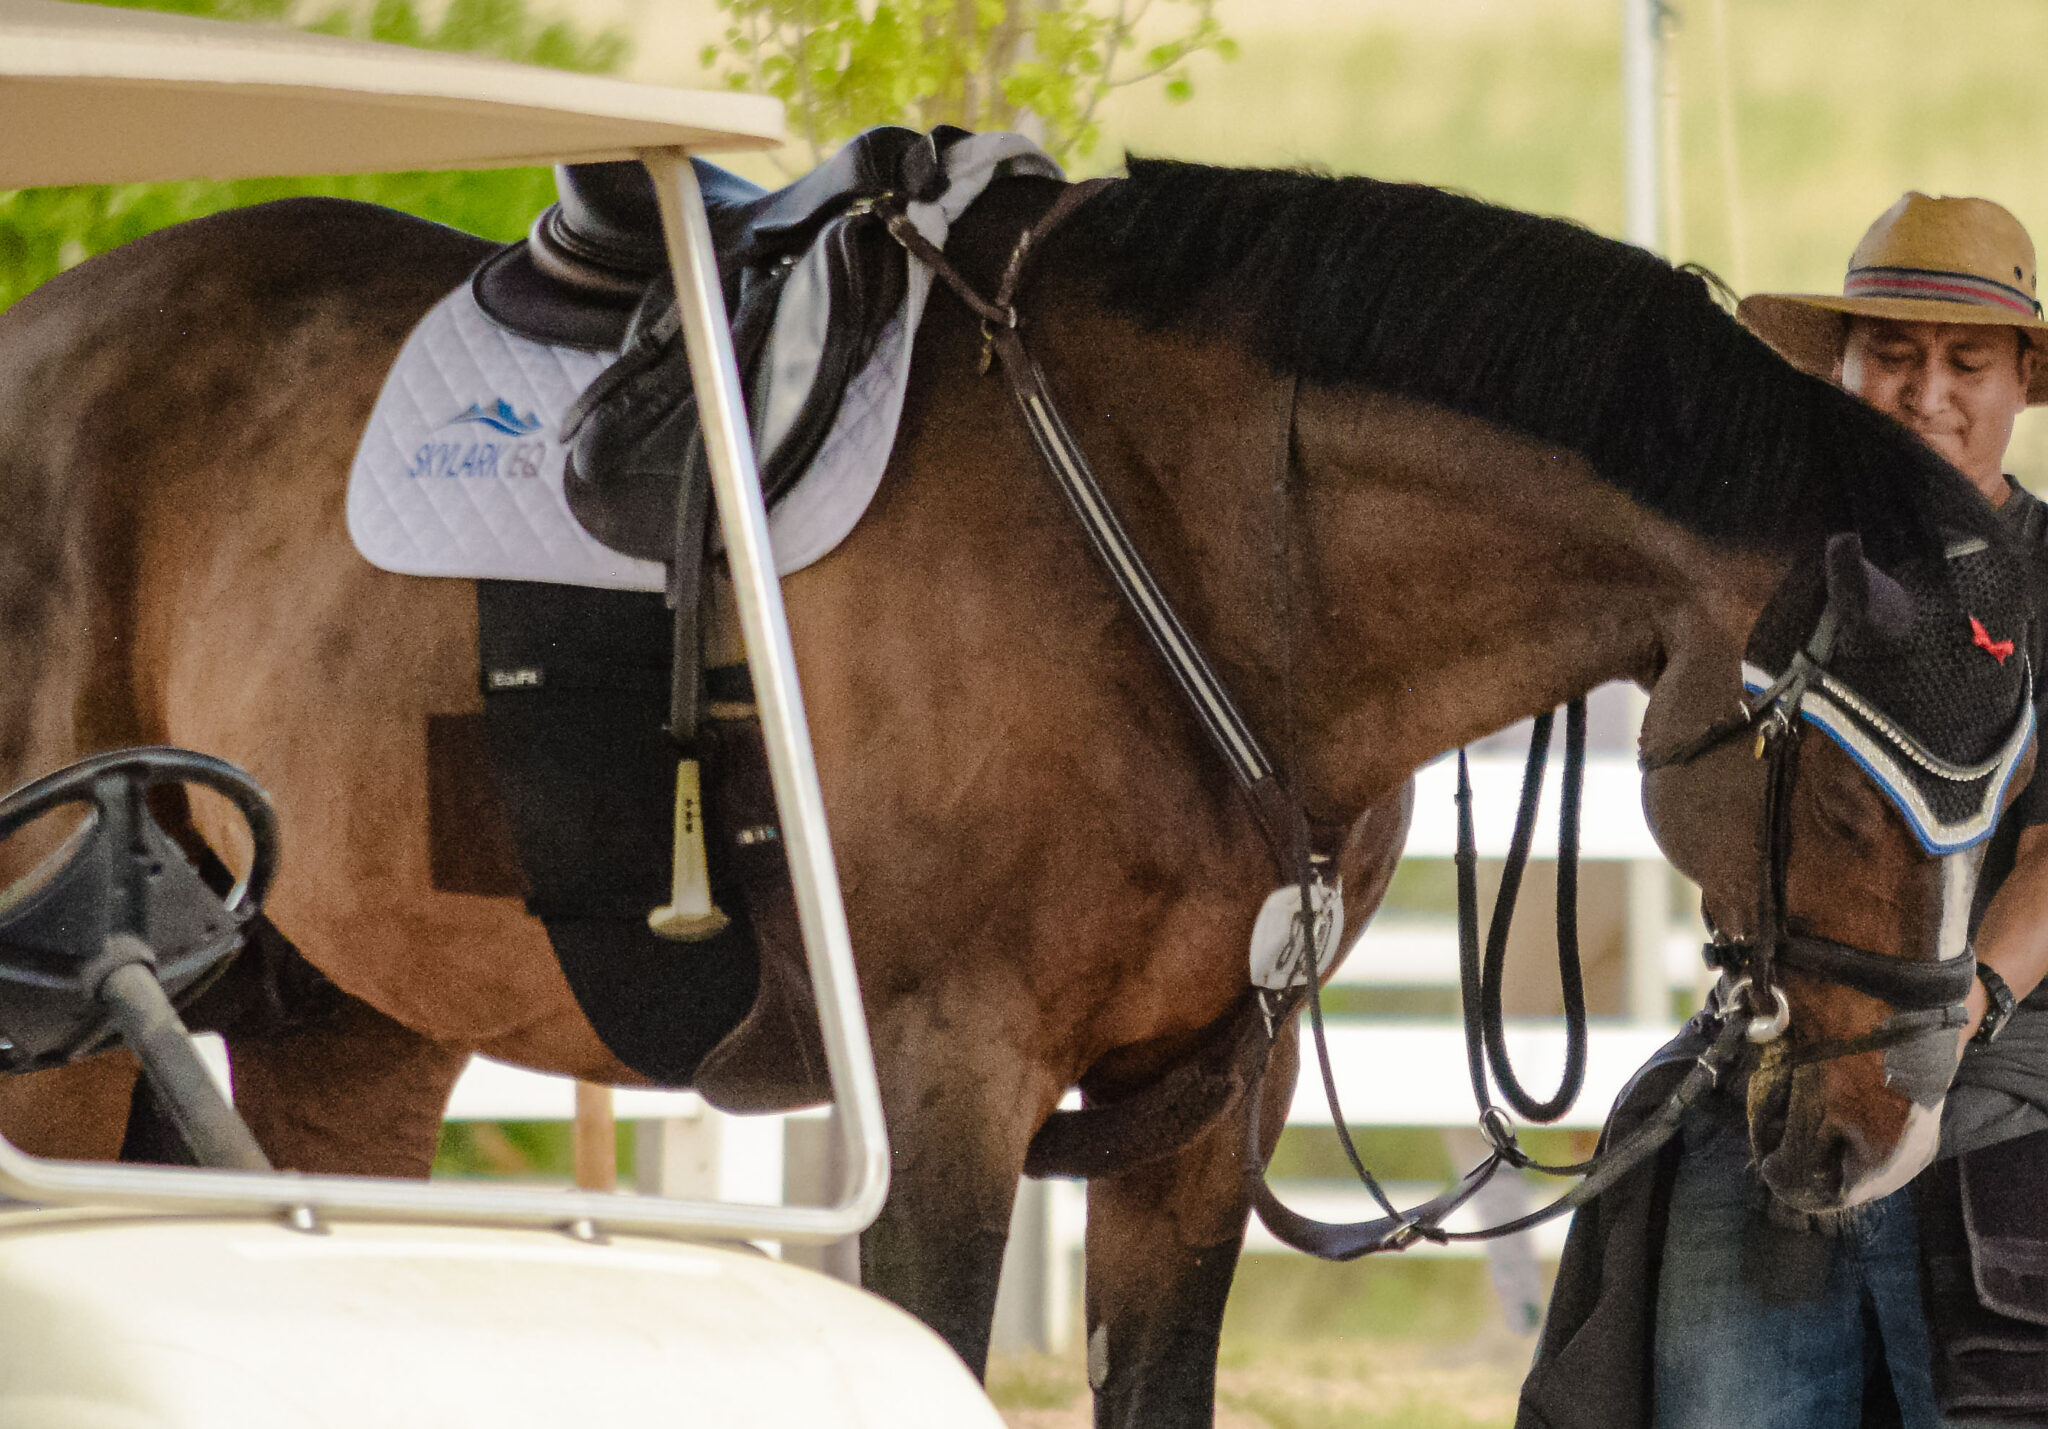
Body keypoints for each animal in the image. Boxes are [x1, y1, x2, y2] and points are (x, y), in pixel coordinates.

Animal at [0, 155, 2032, 1426]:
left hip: (349, 1018)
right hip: (72, 999)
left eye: (2009, 800)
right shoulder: (943, 1078)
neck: (1194, 546)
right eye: (1841, 795)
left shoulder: (1197, 1101)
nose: (1884, 1142)